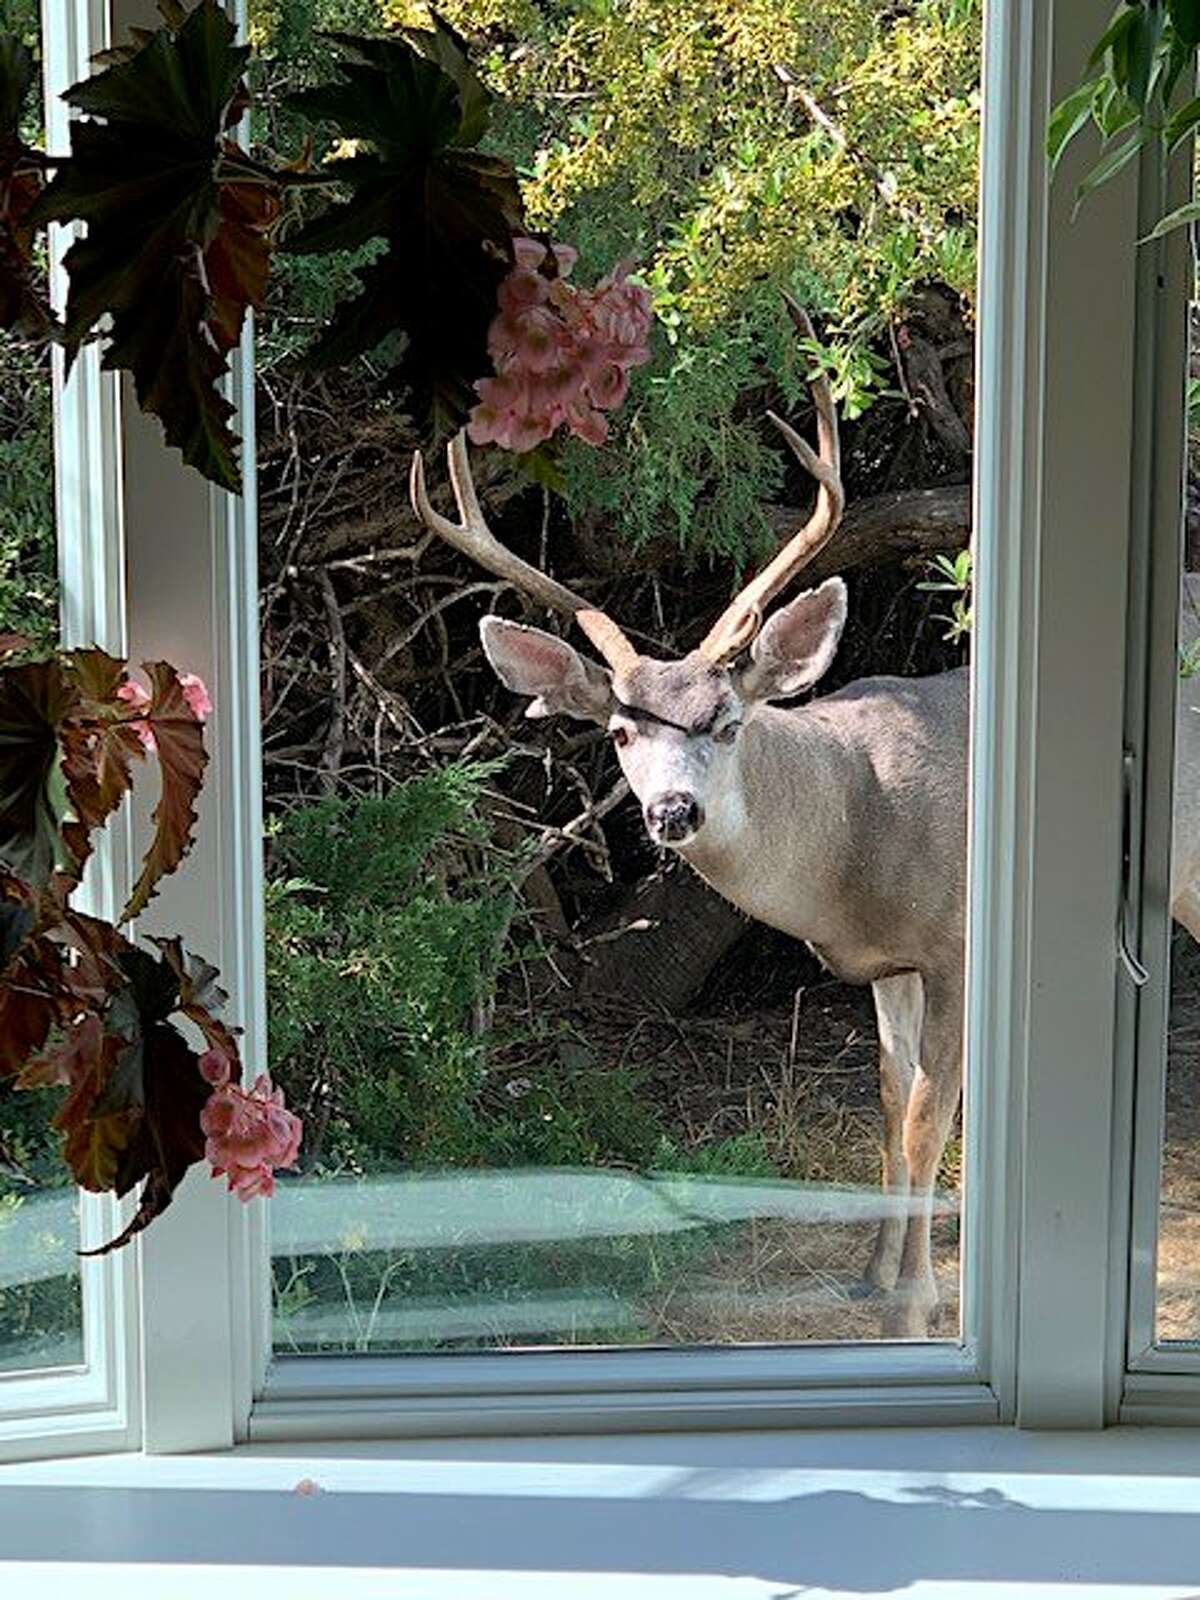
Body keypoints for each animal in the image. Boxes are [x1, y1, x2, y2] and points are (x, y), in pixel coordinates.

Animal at [410, 300, 1200, 1339]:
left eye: (727, 720)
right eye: (620, 730)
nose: (672, 810)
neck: (855, 826)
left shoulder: (954, 944)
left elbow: (929, 1117)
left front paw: (913, 1306)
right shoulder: (889, 968)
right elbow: (890, 1103)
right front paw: (879, 1276)